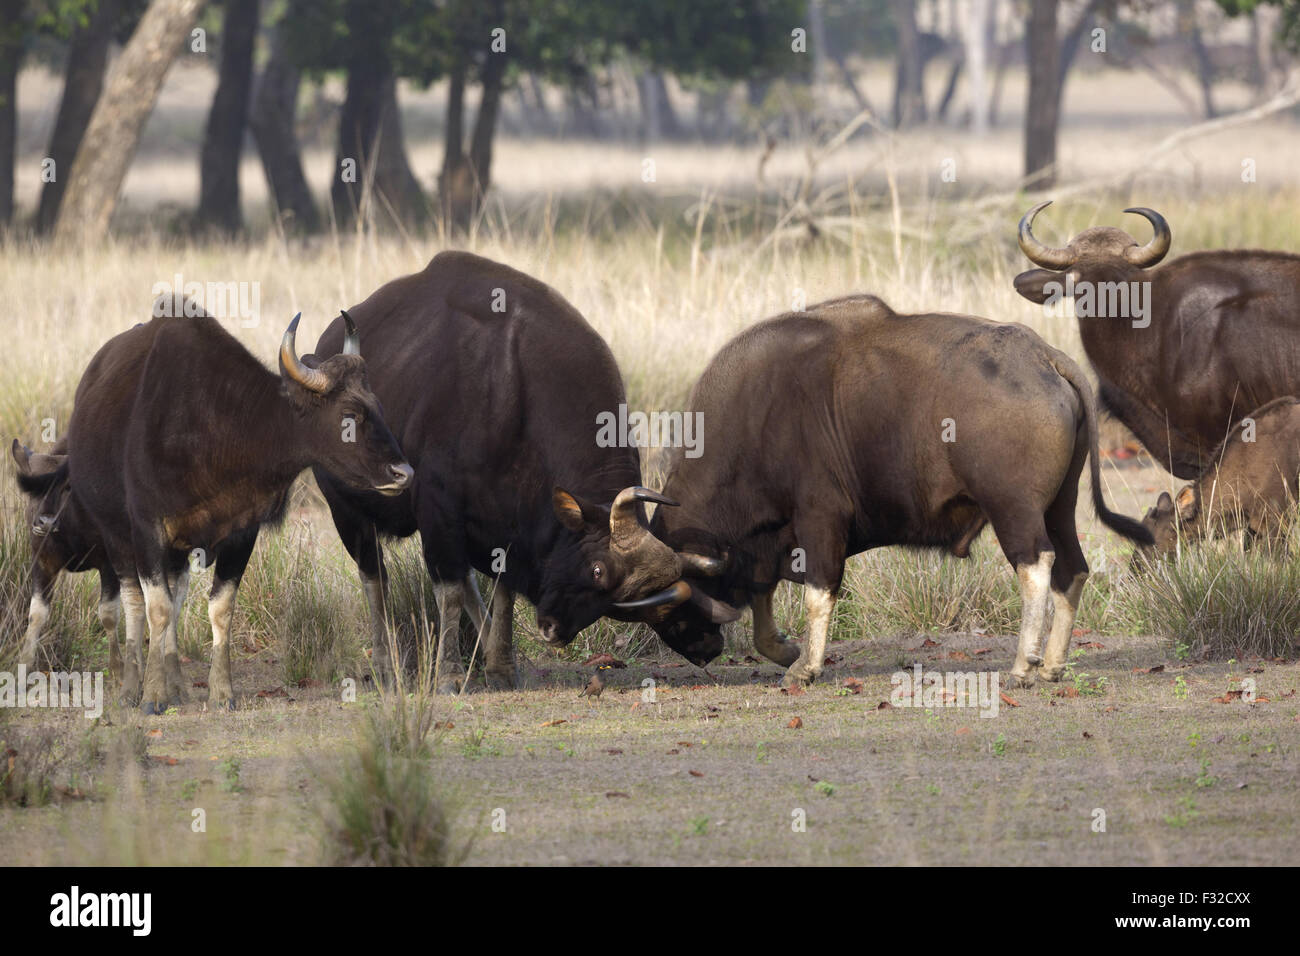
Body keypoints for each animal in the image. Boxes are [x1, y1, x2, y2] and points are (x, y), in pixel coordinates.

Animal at [66, 307, 412, 713]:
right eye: (350, 414)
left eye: (378, 408)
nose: (403, 473)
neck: (216, 427)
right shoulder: (146, 530)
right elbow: (156, 610)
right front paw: (151, 695)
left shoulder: (242, 530)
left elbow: (219, 607)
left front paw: (220, 691)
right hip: (116, 536)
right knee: (135, 603)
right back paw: (131, 688)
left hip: (176, 553)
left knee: (176, 600)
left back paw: (176, 684)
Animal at [310, 251, 709, 693]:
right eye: (598, 569)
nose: (554, 630)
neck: (512, 392)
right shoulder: (438, 508)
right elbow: (448, 590)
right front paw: (449, 673)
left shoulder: (509, 525)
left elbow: (501, 592)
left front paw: (500, 666)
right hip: (347, 512)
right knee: (375, 578)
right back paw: (384, 666)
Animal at [621, 295, 1153, 688]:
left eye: (668, 603)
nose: (701, 651)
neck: (754, 417)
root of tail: (1043, 355)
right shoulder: (768, 542)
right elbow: (763, 602)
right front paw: (787, 651)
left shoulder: (819, 519)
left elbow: (817, 592)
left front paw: (806, 667)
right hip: (1061, 506)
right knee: (1073, 569)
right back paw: (1053, 664)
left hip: (1014, 509)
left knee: (1036, 566)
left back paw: (1024, 664)